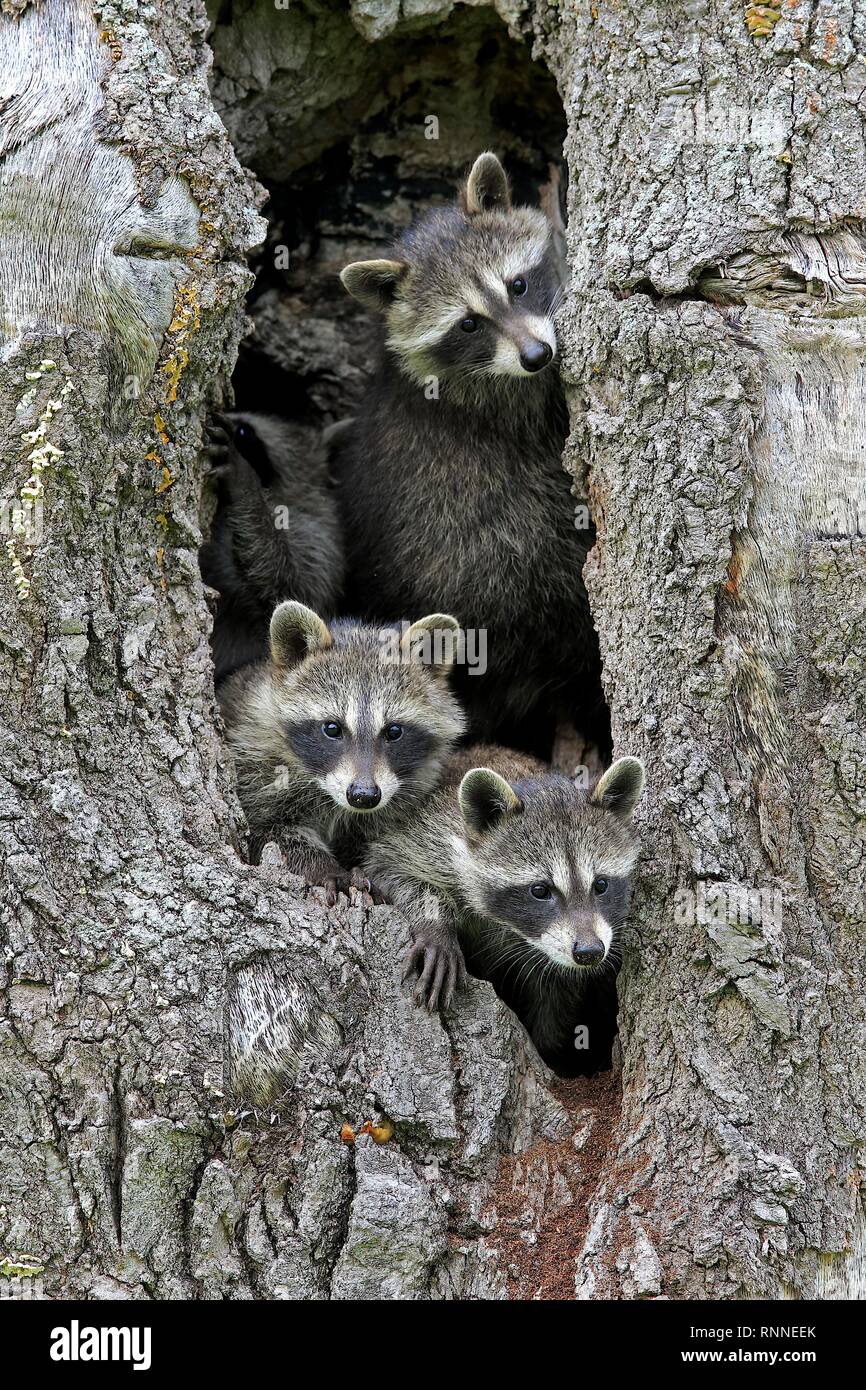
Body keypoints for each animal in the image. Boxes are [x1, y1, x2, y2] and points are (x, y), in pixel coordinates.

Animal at [220, 600, 466, 903]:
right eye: (332, 728)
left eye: (394, 731)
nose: (363, 796)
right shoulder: (253, 761)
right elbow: (269, 831)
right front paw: (324, 867)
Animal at [362, 748, 645, 1073]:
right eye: (540, 890)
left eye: (601, 885)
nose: (590, 952)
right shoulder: (431, 839)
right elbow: (385, 868)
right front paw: (435, 923)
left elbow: (555, 997)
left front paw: (549, 1046)